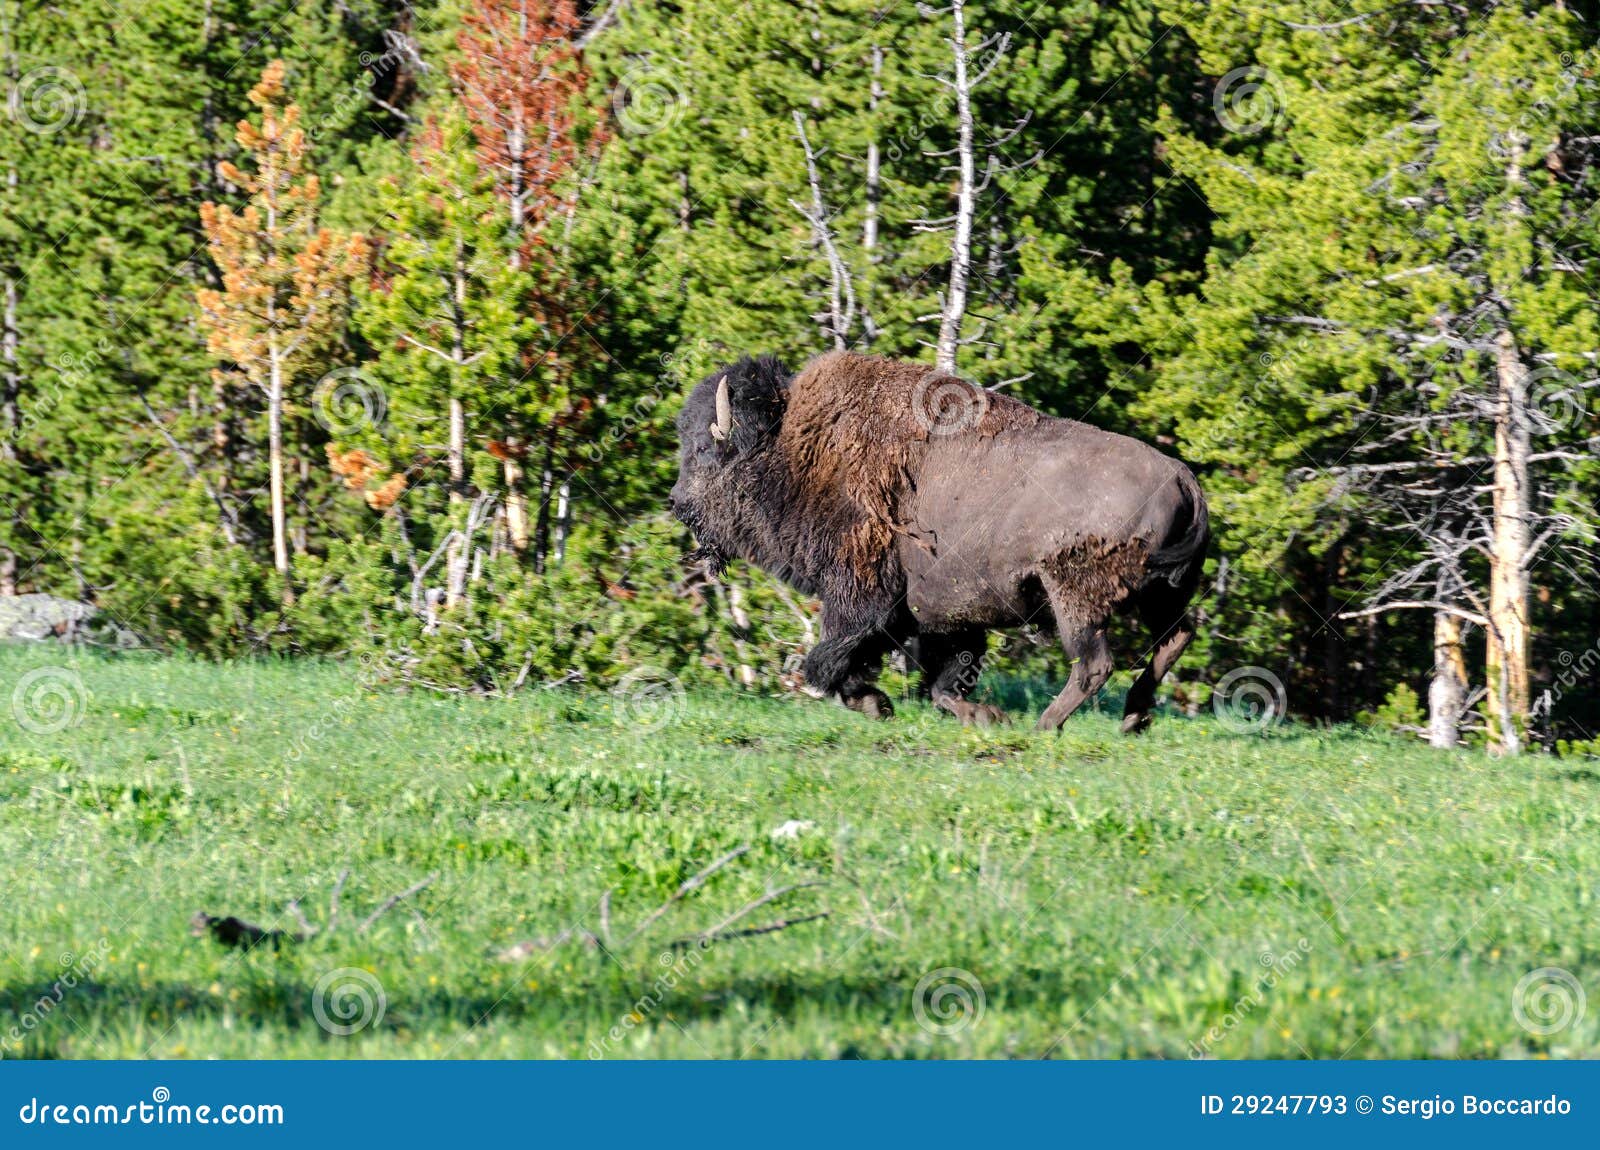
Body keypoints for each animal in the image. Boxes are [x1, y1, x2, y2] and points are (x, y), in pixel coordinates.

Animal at [669, 351, 1209, 733]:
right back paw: (1133, 719)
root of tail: (1182, 477)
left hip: (1074, 598)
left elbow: (828, 660)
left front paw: (877, 704)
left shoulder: (861, 596)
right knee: (1175, 638)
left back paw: (1046, 726)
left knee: (1095, 663)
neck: (796, 448)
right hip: (1162, 592)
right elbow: (942, 681)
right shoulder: (941, 617)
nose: (677, 502)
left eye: (705, 449)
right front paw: (983, 715)